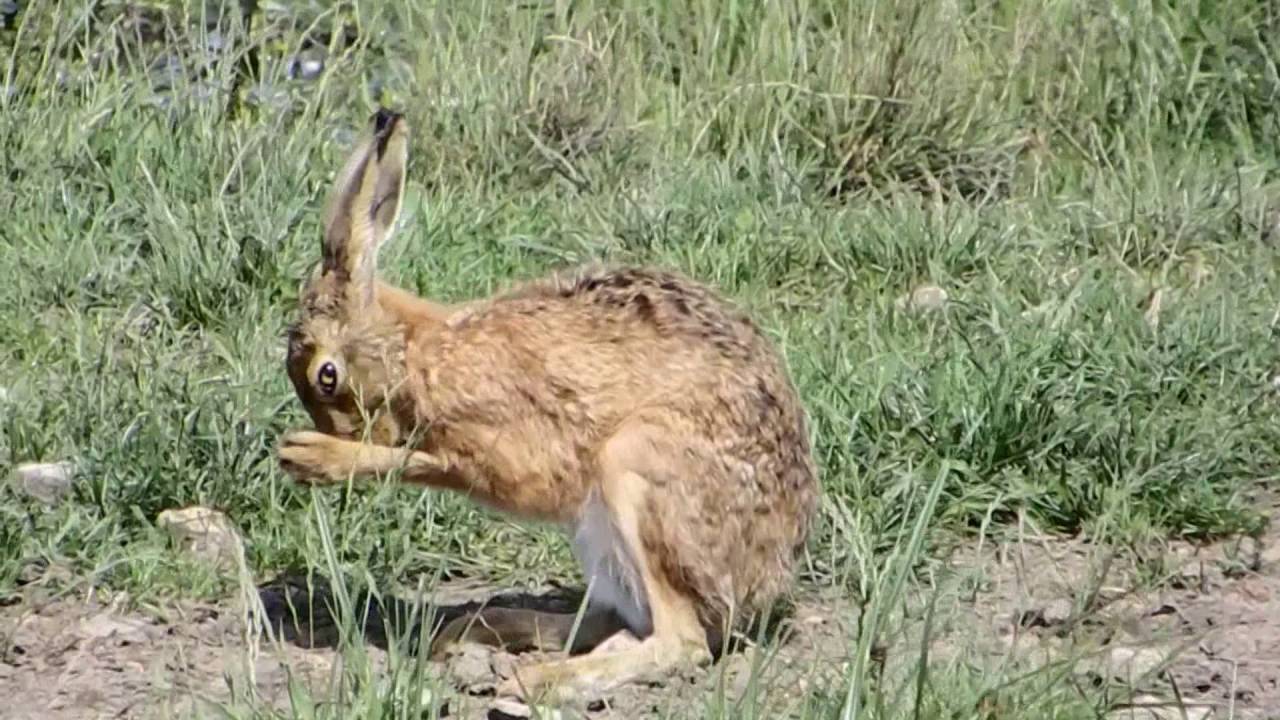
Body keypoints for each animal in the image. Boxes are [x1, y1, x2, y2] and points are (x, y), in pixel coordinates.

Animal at [277, 108, 819, 704]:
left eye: (327, 376)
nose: (343, 433)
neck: (413, 354)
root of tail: (768, 579)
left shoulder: (510, 449)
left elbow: (431, 464)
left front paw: (311, 456)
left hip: (639, 467)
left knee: (679, 641)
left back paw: (535, 679)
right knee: (619, 621)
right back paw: (474, 632)